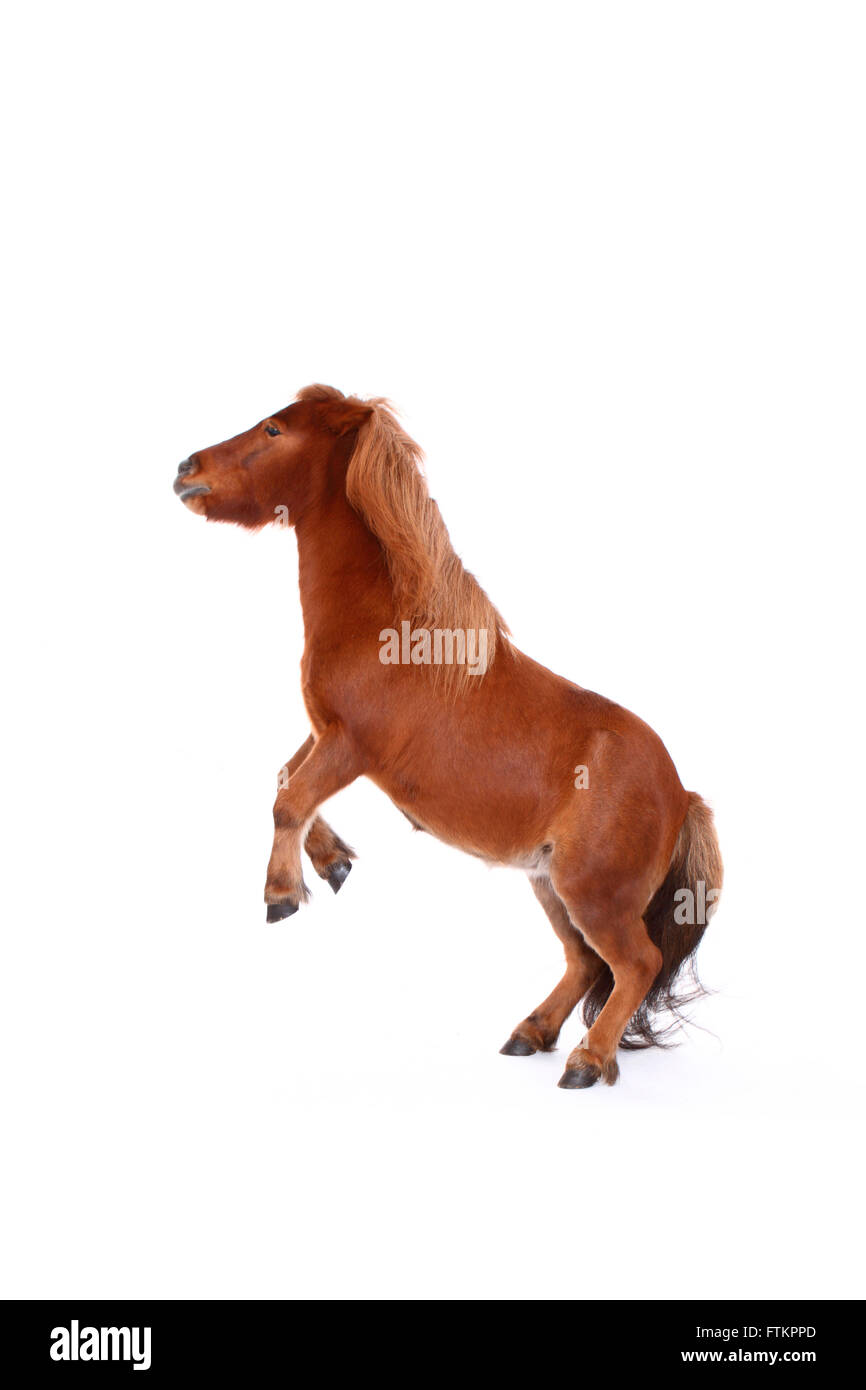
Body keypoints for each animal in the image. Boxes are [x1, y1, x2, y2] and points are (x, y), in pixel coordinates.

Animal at [173, 384, 722, 1089]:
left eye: (273, 430)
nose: (186, 469)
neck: (390, 624)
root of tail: (682, 795)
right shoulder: (326, 733)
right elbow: (285, 780)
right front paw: (333, 862)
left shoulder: (351, 747)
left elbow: (288, 800)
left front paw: (283, 893)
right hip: (549, 883)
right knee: (585, 963)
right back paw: (531, 1034)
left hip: (595, 895)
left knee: (634, 964)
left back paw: (585, 1060)